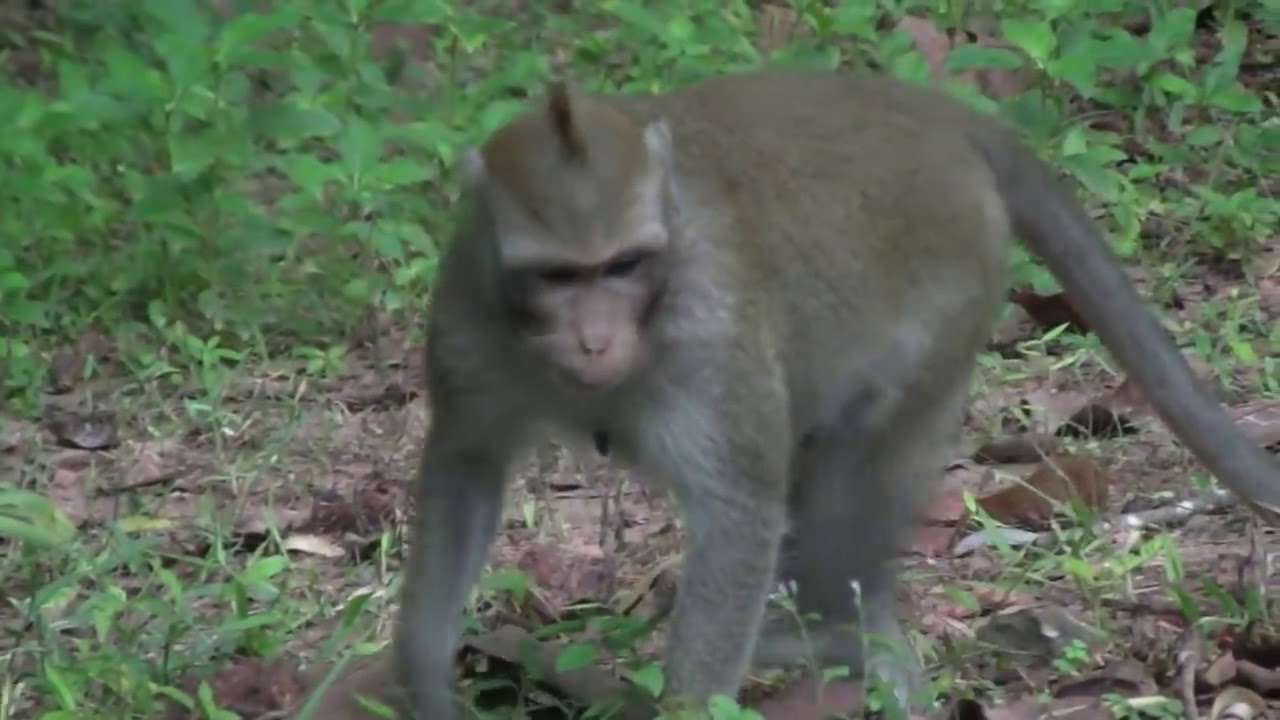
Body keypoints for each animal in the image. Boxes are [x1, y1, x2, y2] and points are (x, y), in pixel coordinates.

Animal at [389, 68, 1280, 720]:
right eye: (555, 276)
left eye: (623, 265)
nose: (595, 341)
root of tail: (926, 110)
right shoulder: (467, 308)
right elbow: (465, 466)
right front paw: (423, 685)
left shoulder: (714, 334)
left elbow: (739, 510)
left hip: (952, 294)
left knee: (855, 476)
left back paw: (830, 637)